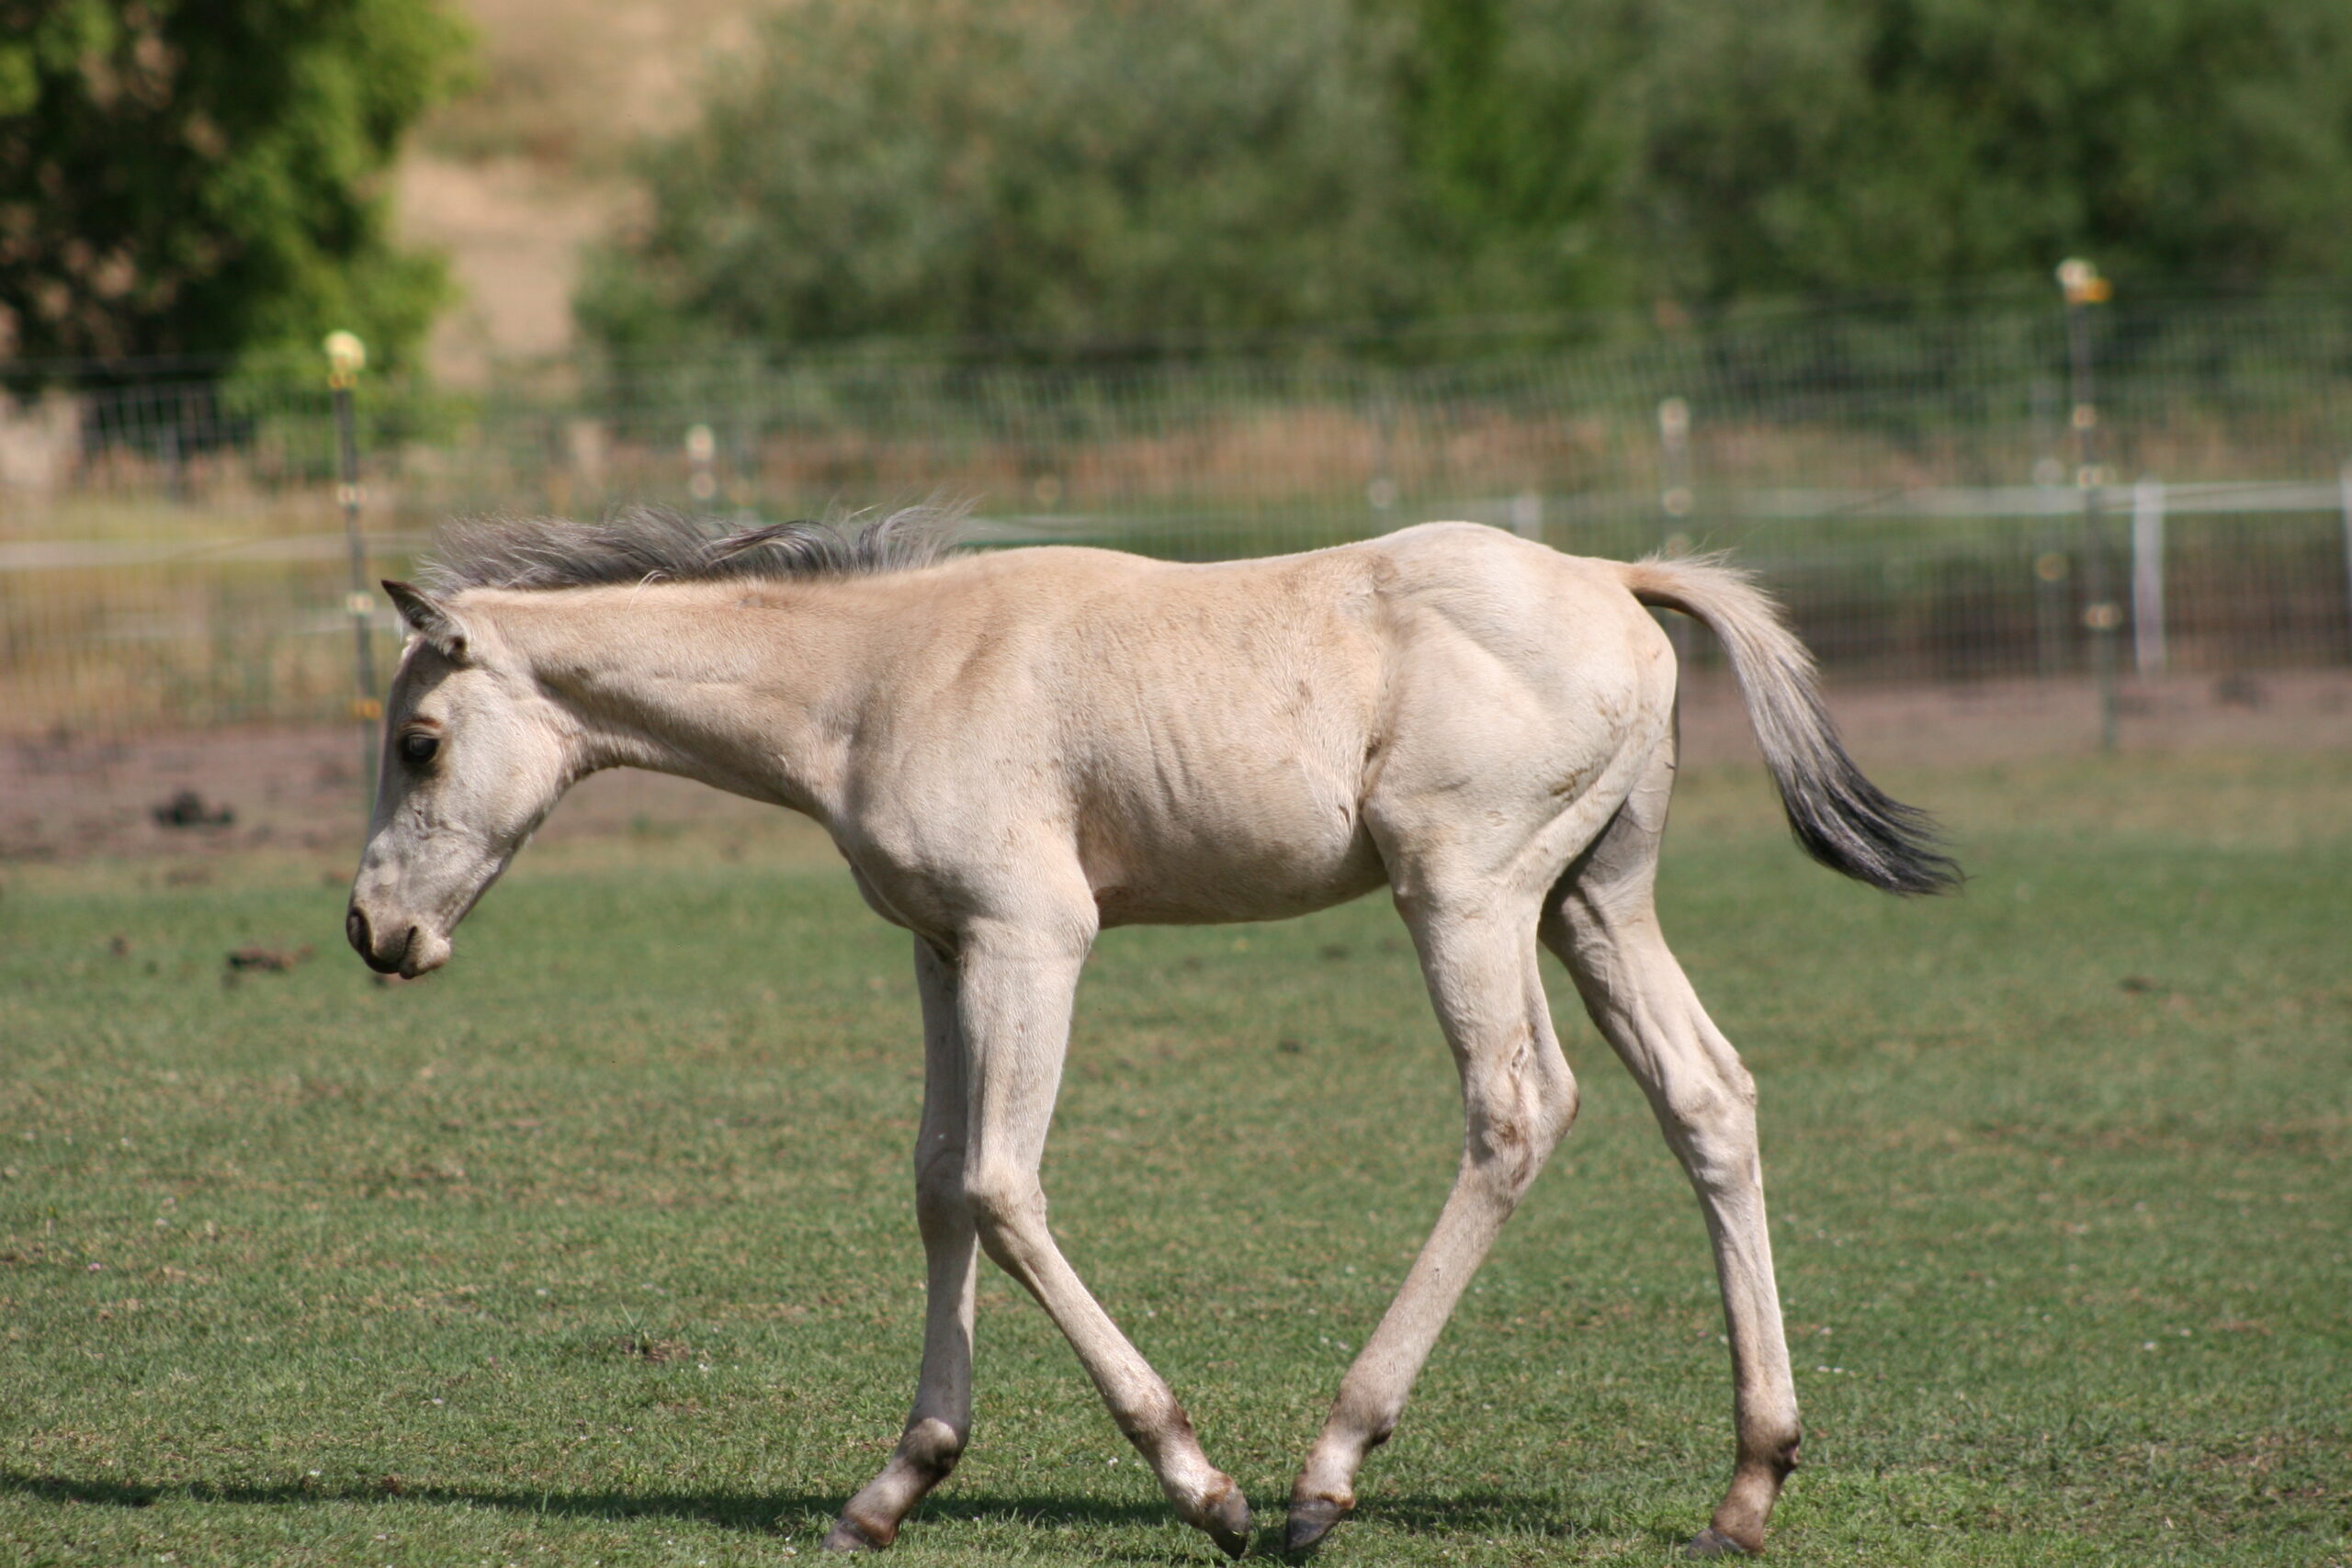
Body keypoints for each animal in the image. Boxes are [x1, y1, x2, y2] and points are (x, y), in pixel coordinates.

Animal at [346, 507, 1956, 1558]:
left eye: (419, 743)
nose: (372, 932)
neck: (882, 671)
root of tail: (1614, 577)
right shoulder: (943, 946)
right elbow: (937, 1186)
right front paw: (897, 1481)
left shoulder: (1034, 936)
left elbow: (1001, 1185)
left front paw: (1200, 1480)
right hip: (1595, 898)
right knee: (1708, 1094)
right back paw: (1747, 1486)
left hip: (1470, 890)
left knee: (1518, 1108)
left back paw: (1321, 1475)